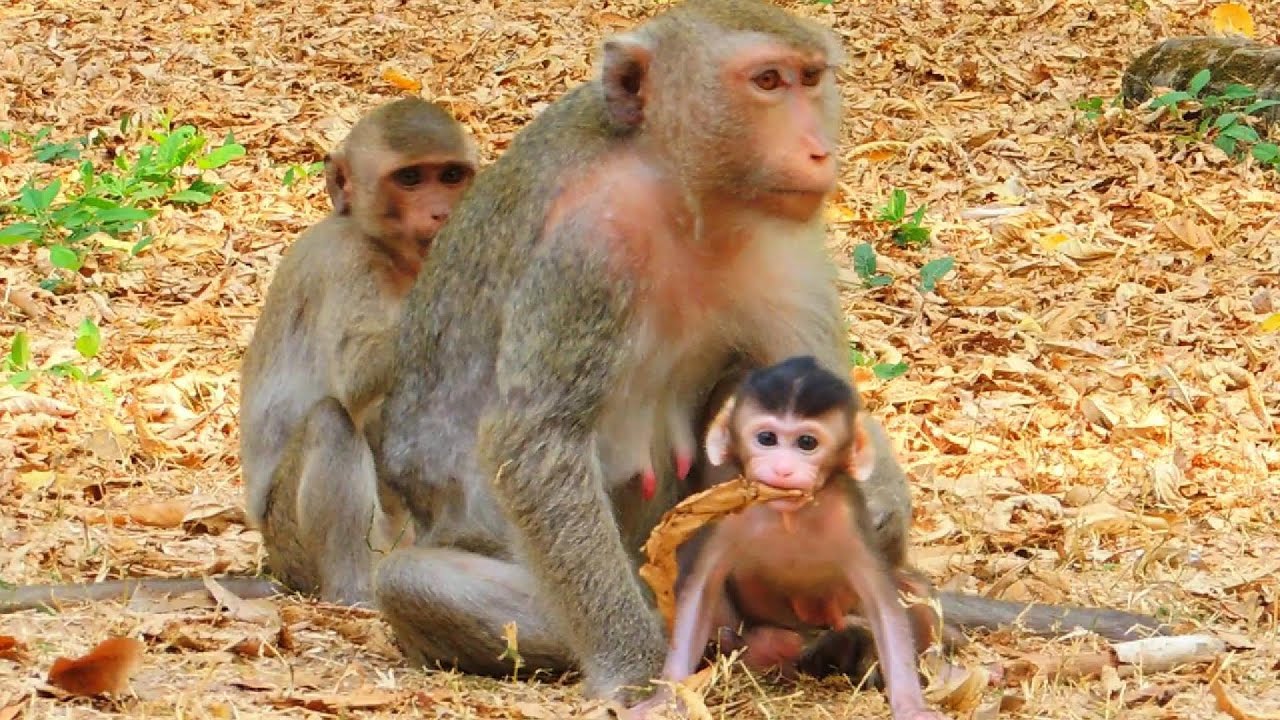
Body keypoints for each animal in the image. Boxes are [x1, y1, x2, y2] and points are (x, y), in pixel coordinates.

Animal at [236, 96, 477, 604]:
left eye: (450, 175)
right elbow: (357, 374)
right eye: (410, 179)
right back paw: (353, 592)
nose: (441, 213)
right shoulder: (347, 262)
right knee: (330, 422)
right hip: (294, 543)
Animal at [662, 357, 947, 720]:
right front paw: (663, 698)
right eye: (767, 438)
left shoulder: (849, 521)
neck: (790, 517)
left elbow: (885, 606)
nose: (783, 468)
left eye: (807, 443)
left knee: (914, 595)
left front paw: (911, 705)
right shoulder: (729, 517)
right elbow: (700, 592)